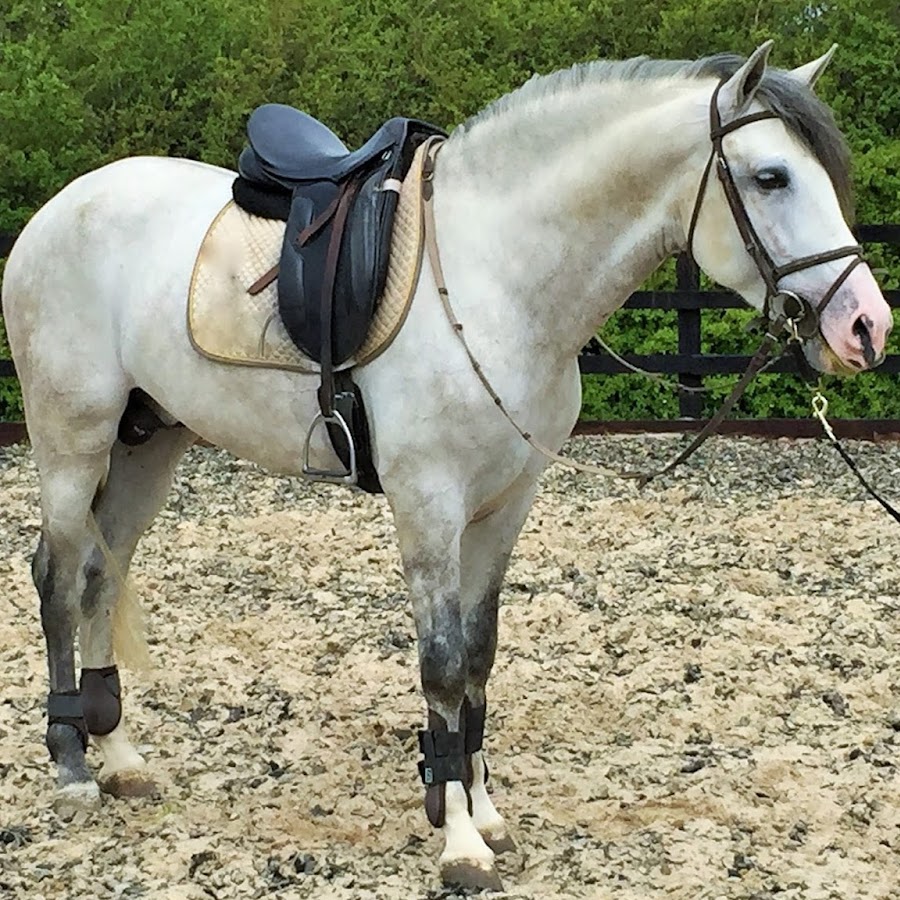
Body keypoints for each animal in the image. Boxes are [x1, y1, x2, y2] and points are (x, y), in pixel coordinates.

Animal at [2, 41, 892, 891]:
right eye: (771, 176)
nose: (865, 327)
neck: (493, 277)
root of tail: (60, 209)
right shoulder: (428, 504)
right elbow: (441, 665)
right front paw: (461, 843)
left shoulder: (504, 506)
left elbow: (479, 658)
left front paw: (483, 810)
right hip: (72, 441)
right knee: (58, 576)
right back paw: (73, 768)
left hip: (147, 442)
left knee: (101, 575)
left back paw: (122, 762)